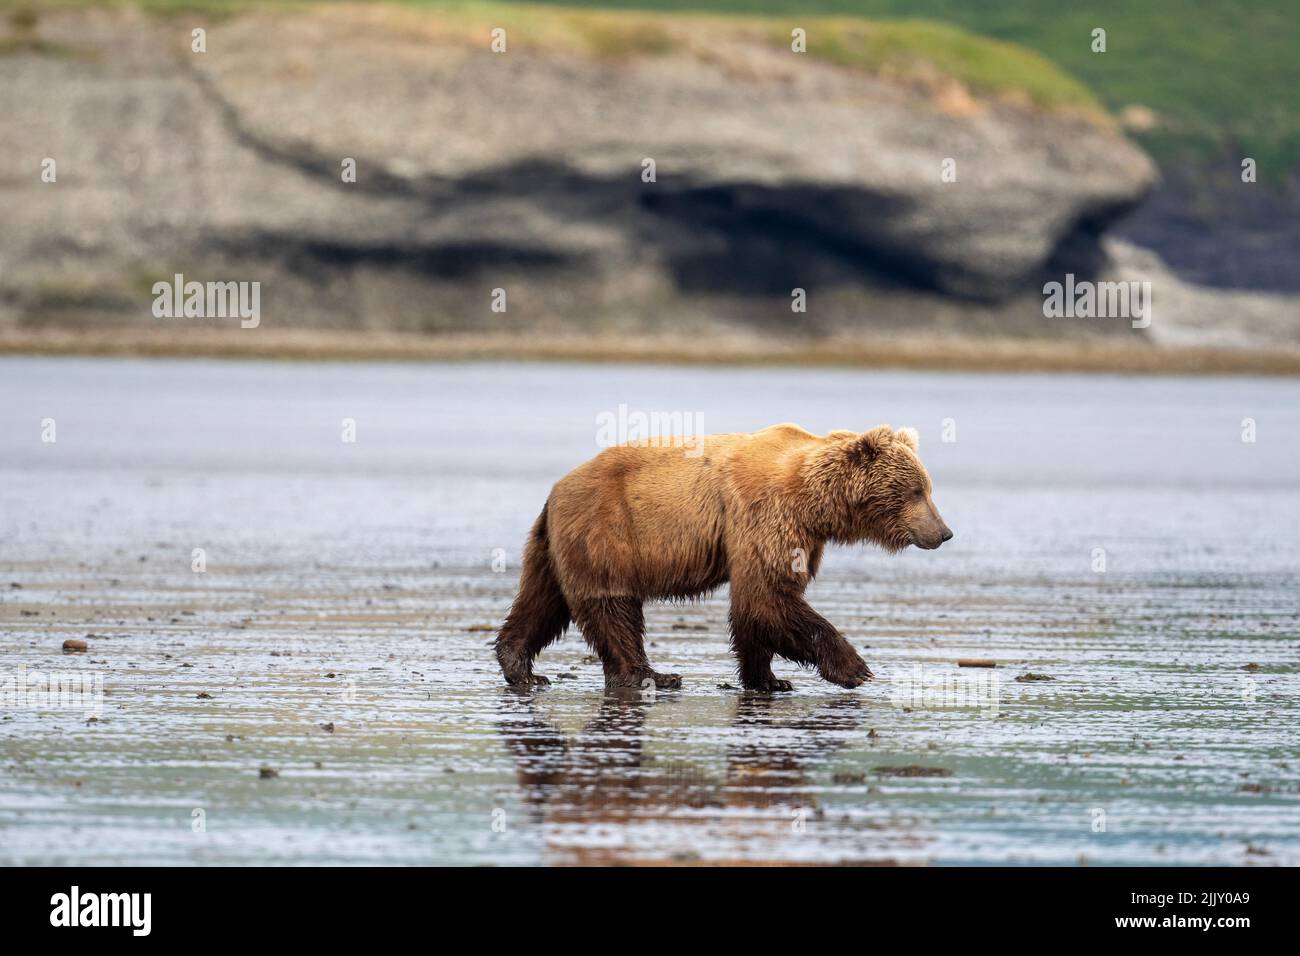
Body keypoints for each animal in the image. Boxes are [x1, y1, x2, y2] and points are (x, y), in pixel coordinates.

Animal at [495, 423, 952, 692]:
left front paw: (767, 678)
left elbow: (758, 607)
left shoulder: (802, 536)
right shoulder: (764, 513)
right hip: (607, 529)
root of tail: (556, 489)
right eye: (917, 490)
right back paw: (649, 673)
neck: (815, 502)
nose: (944, 532)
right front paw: (854, 667)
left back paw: (520, 665)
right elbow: (768, 597)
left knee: (542, 601)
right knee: (612, 605)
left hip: (552, 544)